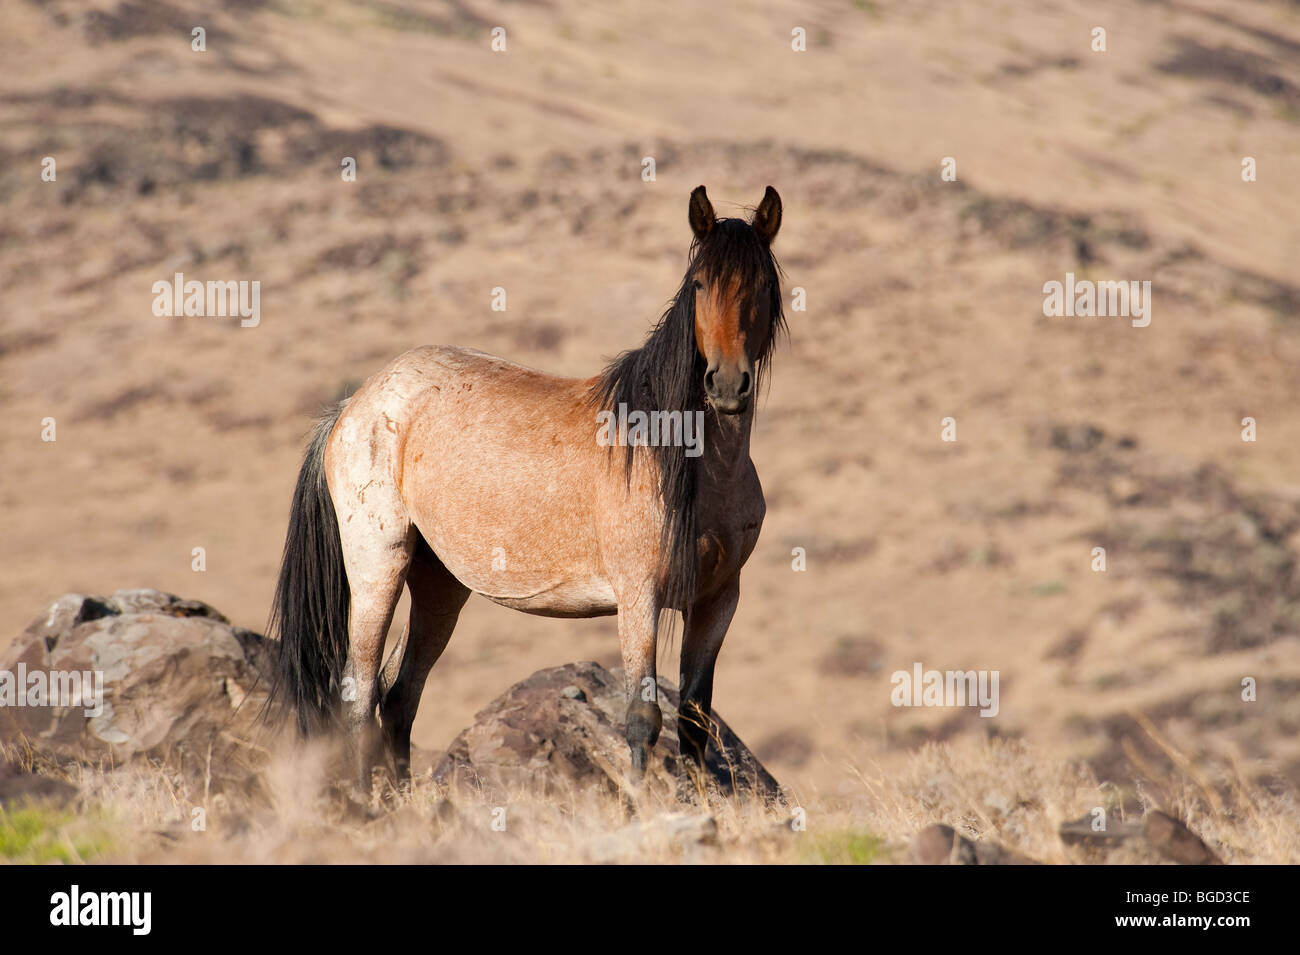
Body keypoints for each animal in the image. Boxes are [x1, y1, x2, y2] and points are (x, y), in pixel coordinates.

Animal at [268, 184, 786, 791]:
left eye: (764, 284)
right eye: (700, 283)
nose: (726, 384)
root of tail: (353, 405)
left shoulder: (717, 600)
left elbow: (694, 721)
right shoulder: (640, 597)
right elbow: (642, 718)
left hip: (440, 584)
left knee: (399, 698)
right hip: (379, 564)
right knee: (360, 692)